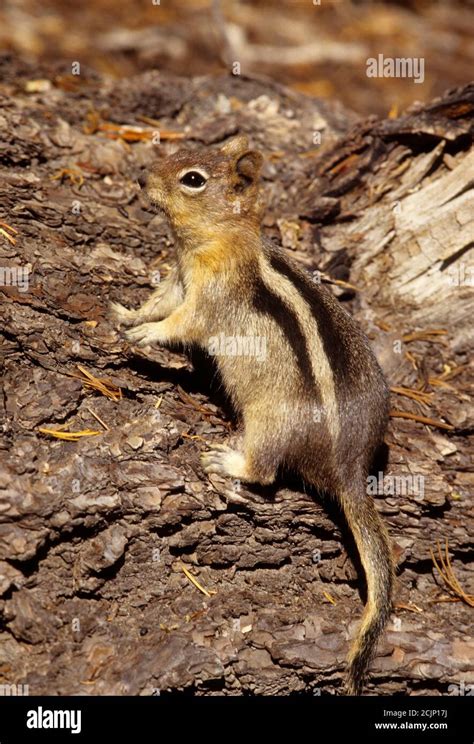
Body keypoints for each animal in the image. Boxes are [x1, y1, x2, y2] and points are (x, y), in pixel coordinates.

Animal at [110, 135, 394, 695]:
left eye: (193, 179)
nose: (142, 178)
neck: (218, 242)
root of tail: (349, 470)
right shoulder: (178, 281)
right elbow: (157, 301)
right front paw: (127, 312)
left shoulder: (205, 299)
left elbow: (180, 323)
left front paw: (145, 335)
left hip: (267, 423)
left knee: (264, 472)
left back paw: (226, 462)